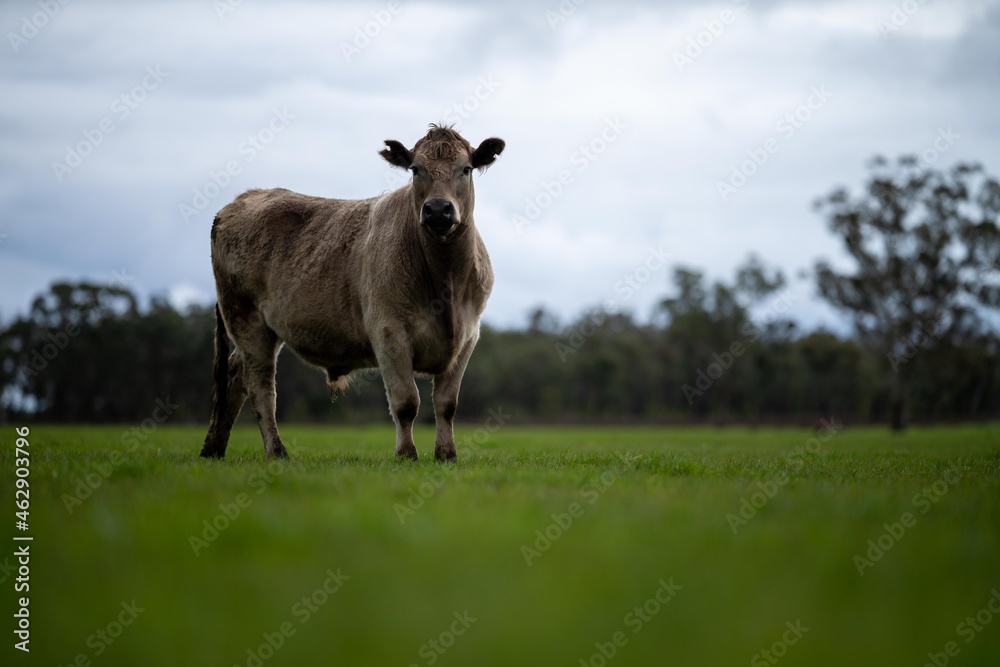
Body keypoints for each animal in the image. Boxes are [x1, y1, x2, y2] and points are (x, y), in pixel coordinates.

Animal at [199, 125, 505, 461]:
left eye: (466, 169)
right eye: (415, 169)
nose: (438, 209)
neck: (445, 281)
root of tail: (243, 199)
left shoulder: (467, 336)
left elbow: (446, 404)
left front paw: (446, 454)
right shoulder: (389, 333)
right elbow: (406, 402)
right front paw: (406, 454)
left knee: (235, 374)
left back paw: (214, 449)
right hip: (246, 319)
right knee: (260, 388)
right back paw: (276, 451)